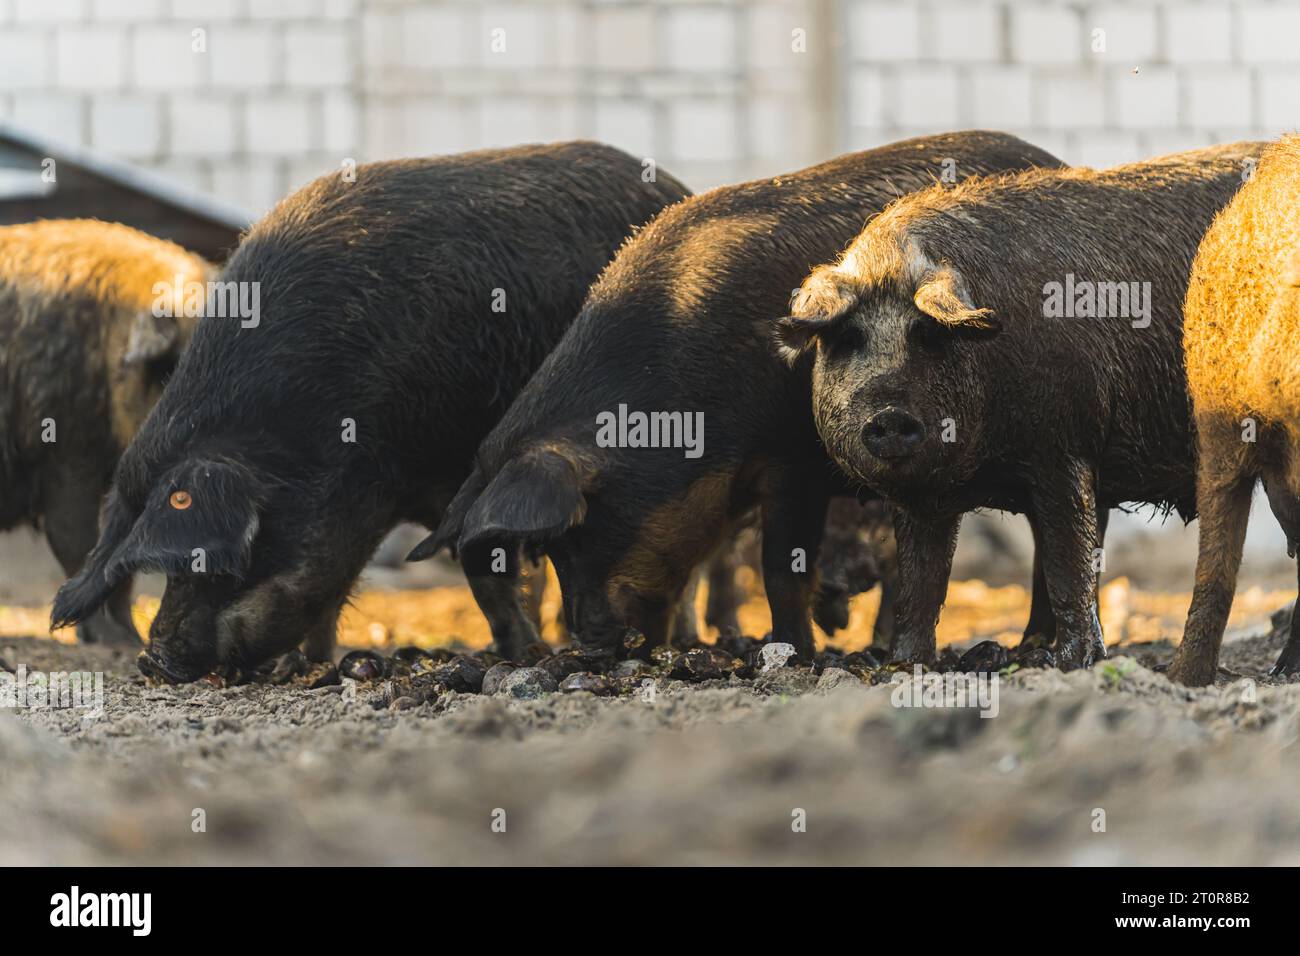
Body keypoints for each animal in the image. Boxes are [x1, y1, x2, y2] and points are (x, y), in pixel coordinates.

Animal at [50, 142, 690, 681]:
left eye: (220, 565)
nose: (153, 658)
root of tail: (671, 184)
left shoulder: (463, 471)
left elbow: (484, 567)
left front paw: (522, 655)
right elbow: (331, 591)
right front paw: (304, 665)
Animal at [412, 132, 1064, 661]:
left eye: (580, 531)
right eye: (548, 547)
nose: (591, 646)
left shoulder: (796, 460)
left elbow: (781, 567)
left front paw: (791, 653)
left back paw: (1028, 645)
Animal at [779, 143, 1265, 671]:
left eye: (927, 334)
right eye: (848, 339)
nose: (888, 416)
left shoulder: (1065, 447)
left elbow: (1066, 561)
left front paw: (1067, 661)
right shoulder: (924, 497)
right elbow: (921, 579)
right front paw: (904, 664)